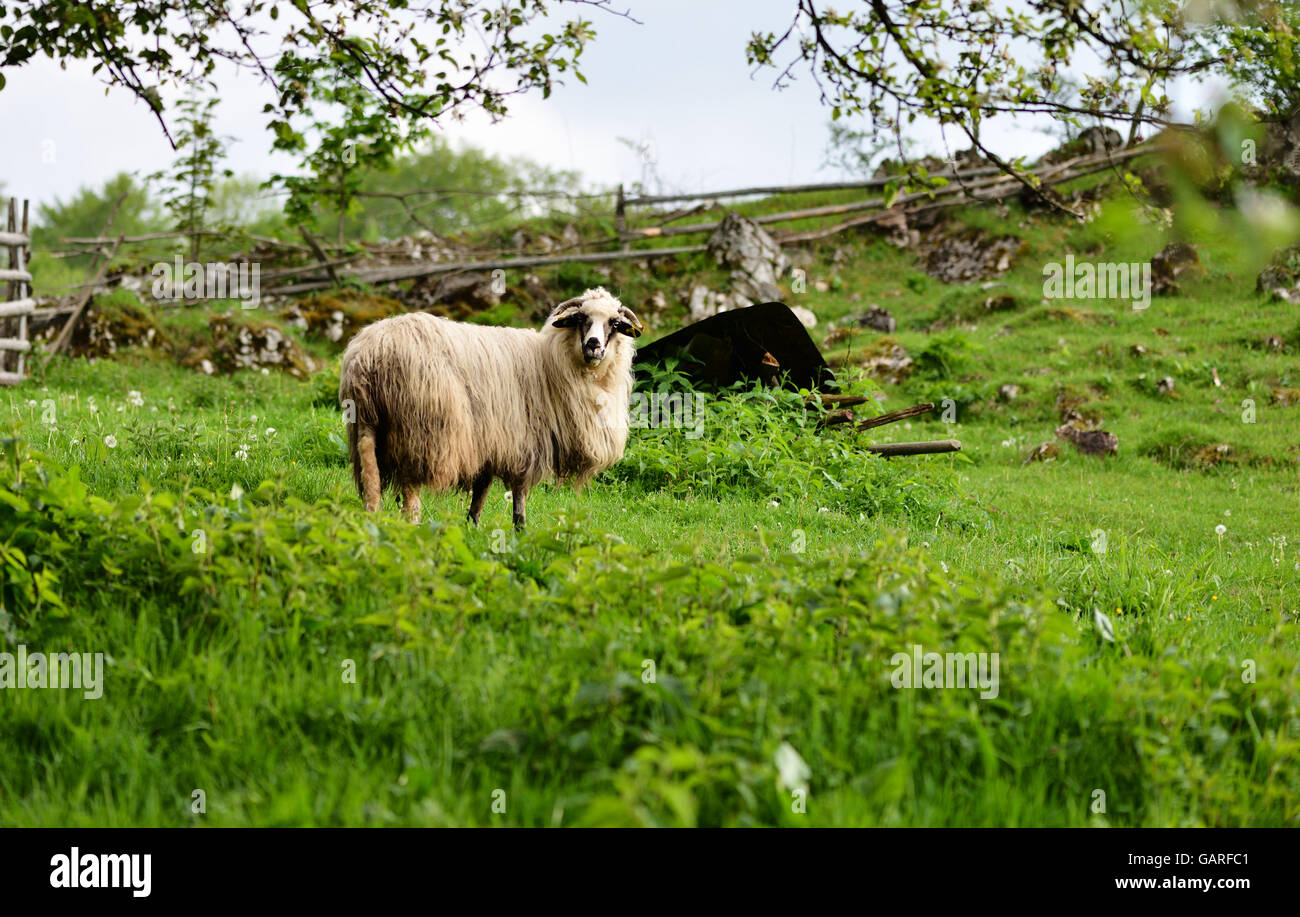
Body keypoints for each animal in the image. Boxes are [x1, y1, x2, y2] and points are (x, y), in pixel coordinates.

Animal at [338, 287, 643, 529]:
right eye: (581, 319)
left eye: (614, 323)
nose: (594, 346)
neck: (551, 362)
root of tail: (370, 353)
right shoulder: (522, 441)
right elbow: (518, 496)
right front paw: (520, 532)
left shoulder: (490, 440)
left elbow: (481, 490)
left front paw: (472, 525)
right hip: (420, 433)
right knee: (411, 495)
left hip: (365, 424)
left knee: (371, 485)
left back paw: (373, 521)